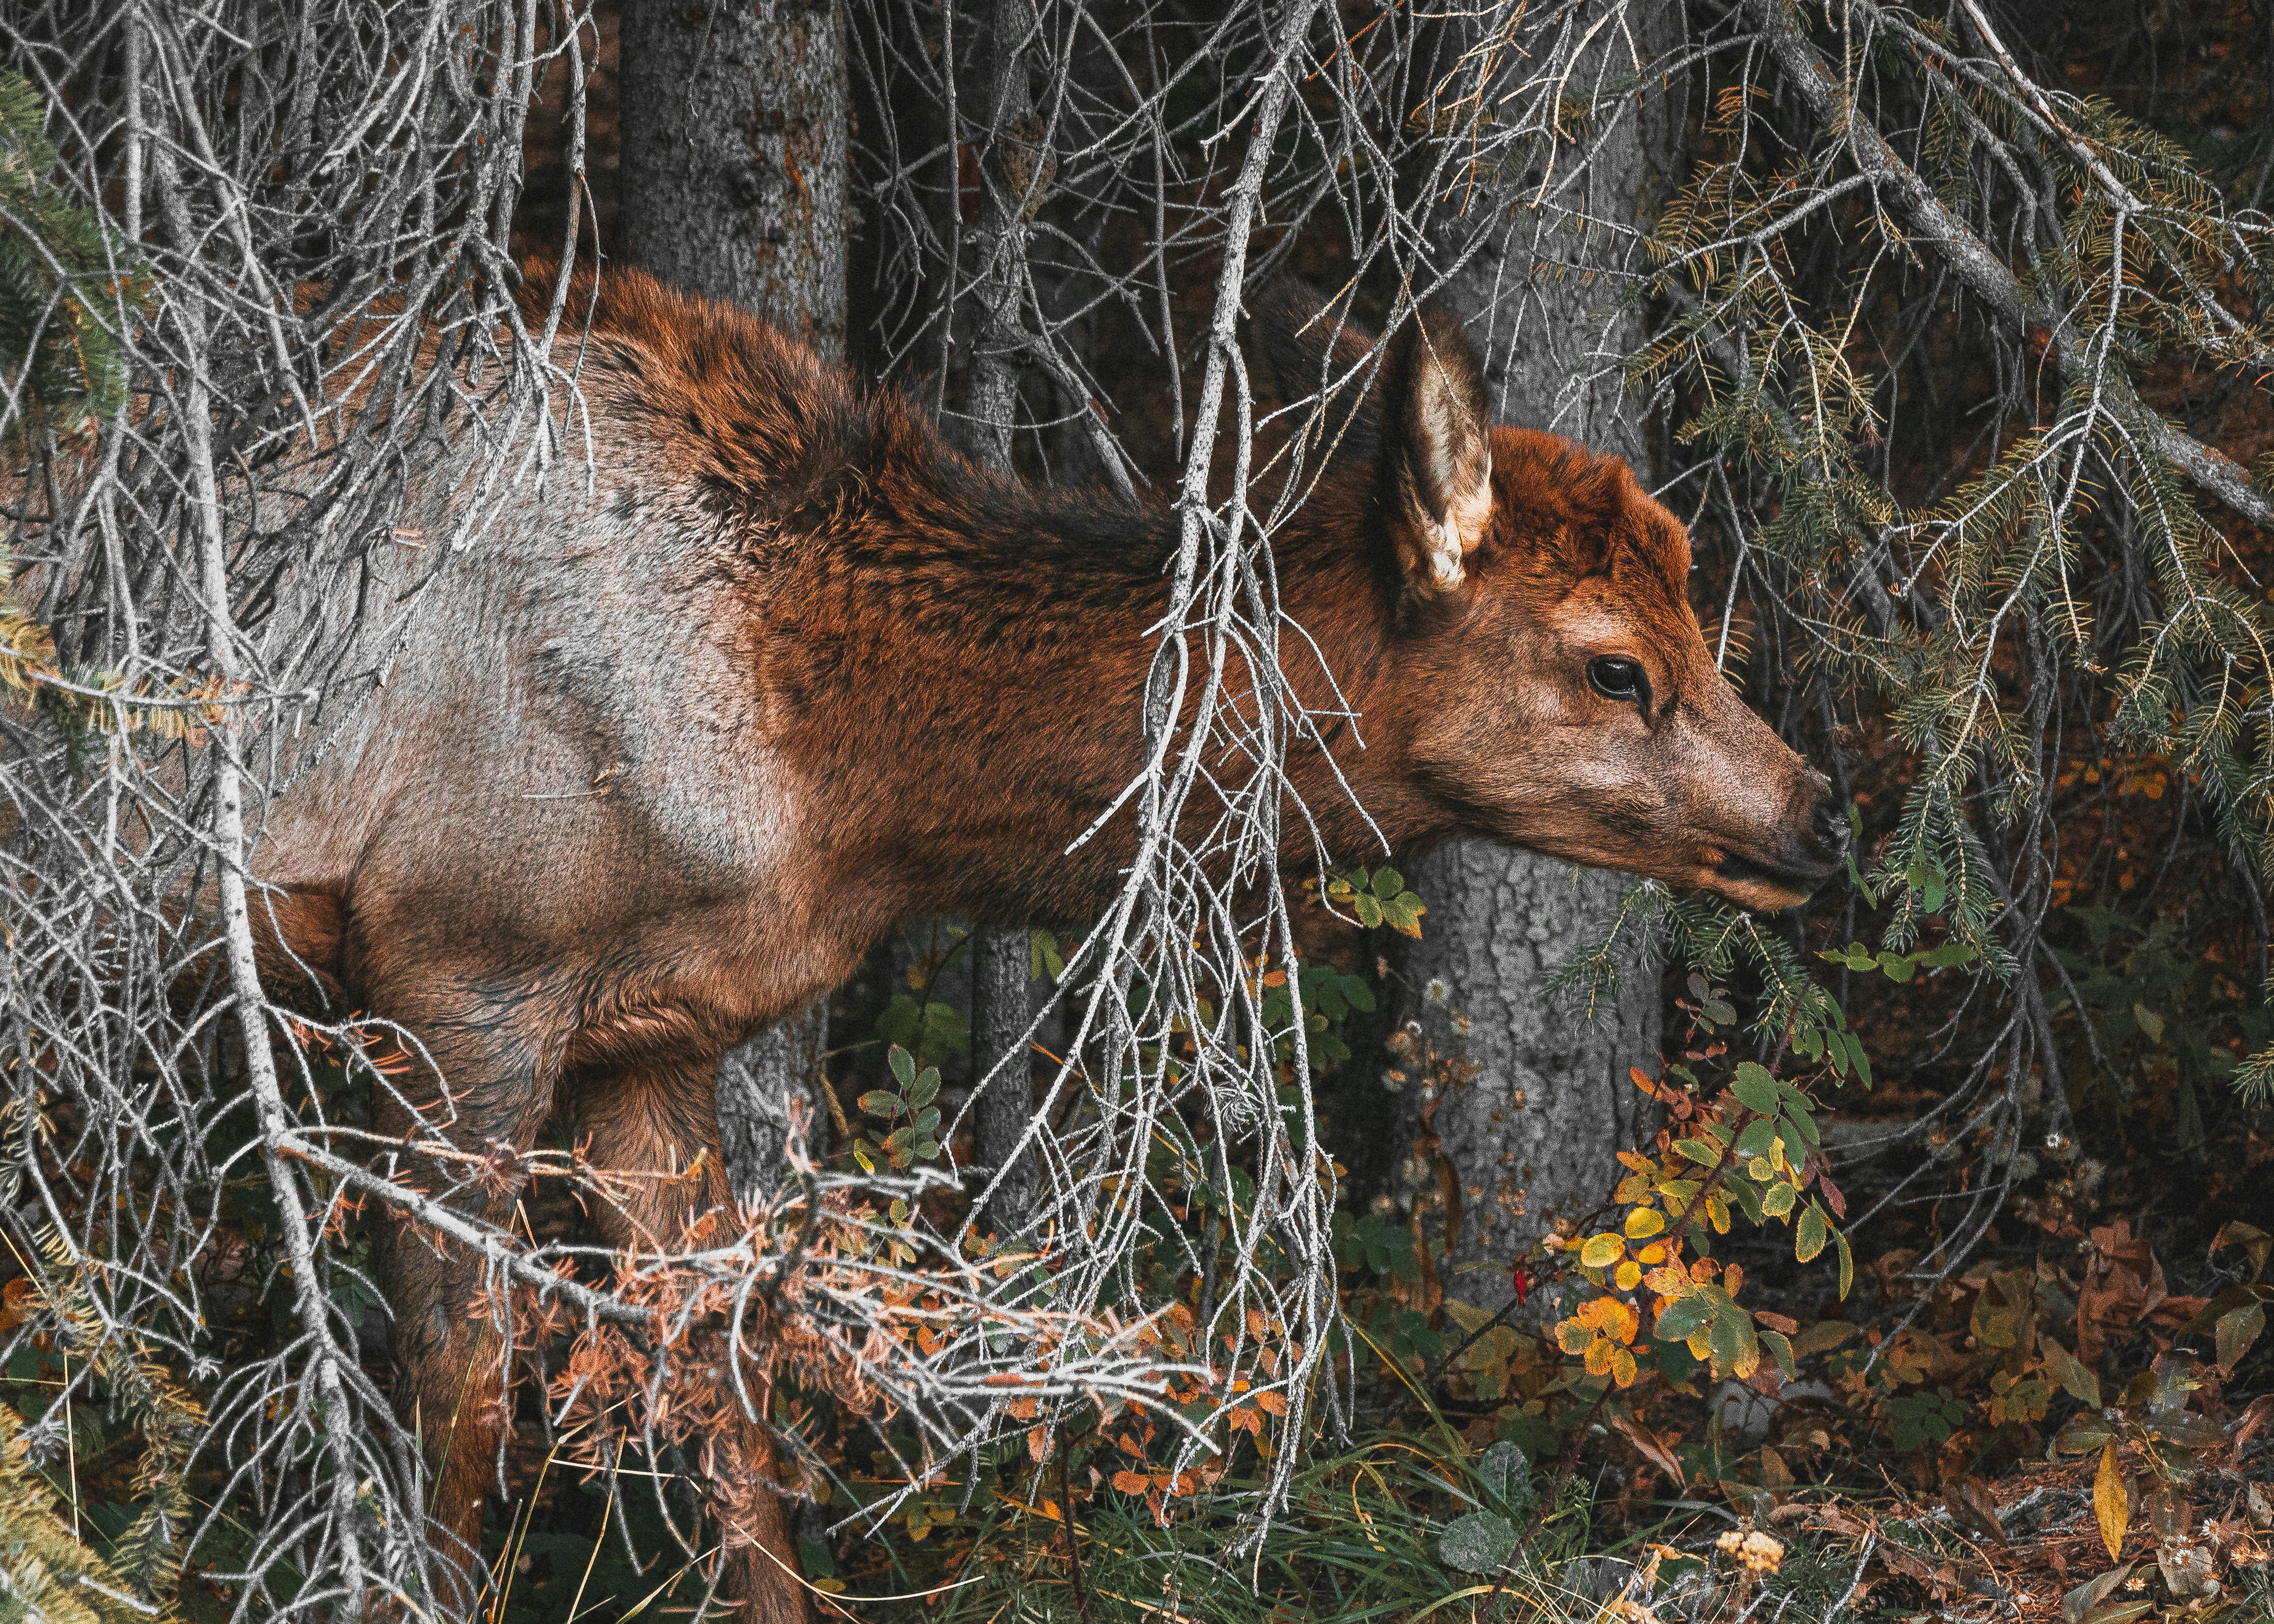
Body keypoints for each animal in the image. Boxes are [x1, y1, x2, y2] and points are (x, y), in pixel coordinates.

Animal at [227, 265, 1846, 1620]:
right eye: (1614, 667)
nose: (1819, 818)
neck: (834, 781)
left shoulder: (650, 1038)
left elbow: (728, 1403)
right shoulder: (460, 970)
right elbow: (457, 1405)